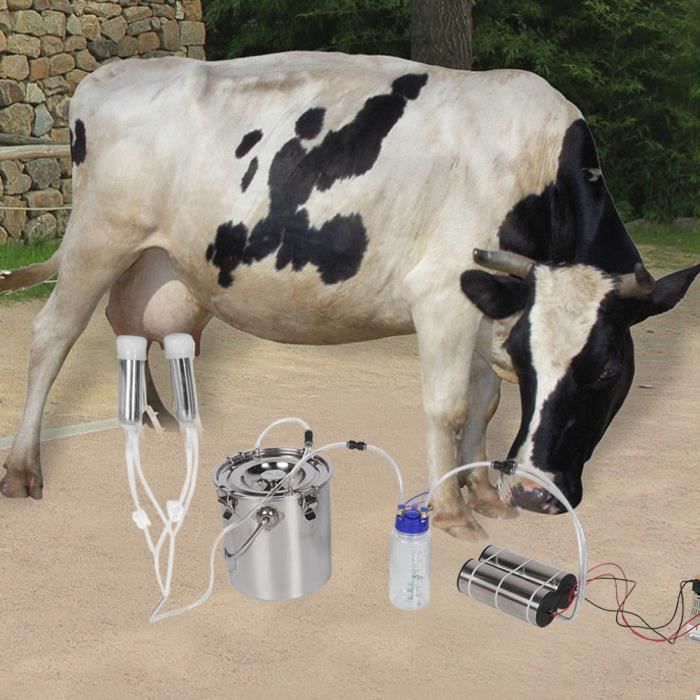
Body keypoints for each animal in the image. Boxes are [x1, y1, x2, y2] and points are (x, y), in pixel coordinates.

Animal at [0, 53, 697, 540]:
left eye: (606, 371)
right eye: (536, 367)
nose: (531, 492)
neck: (537, 169)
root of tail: (109, 73)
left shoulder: (491, 306)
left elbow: (485, 402)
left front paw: (481, 490)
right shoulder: (443, 293)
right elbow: (449, 407)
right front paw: (452, 511)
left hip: (154, 261)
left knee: (135, 326)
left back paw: (159, 420)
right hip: (98, 240)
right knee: (53, 334)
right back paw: (24, 467)